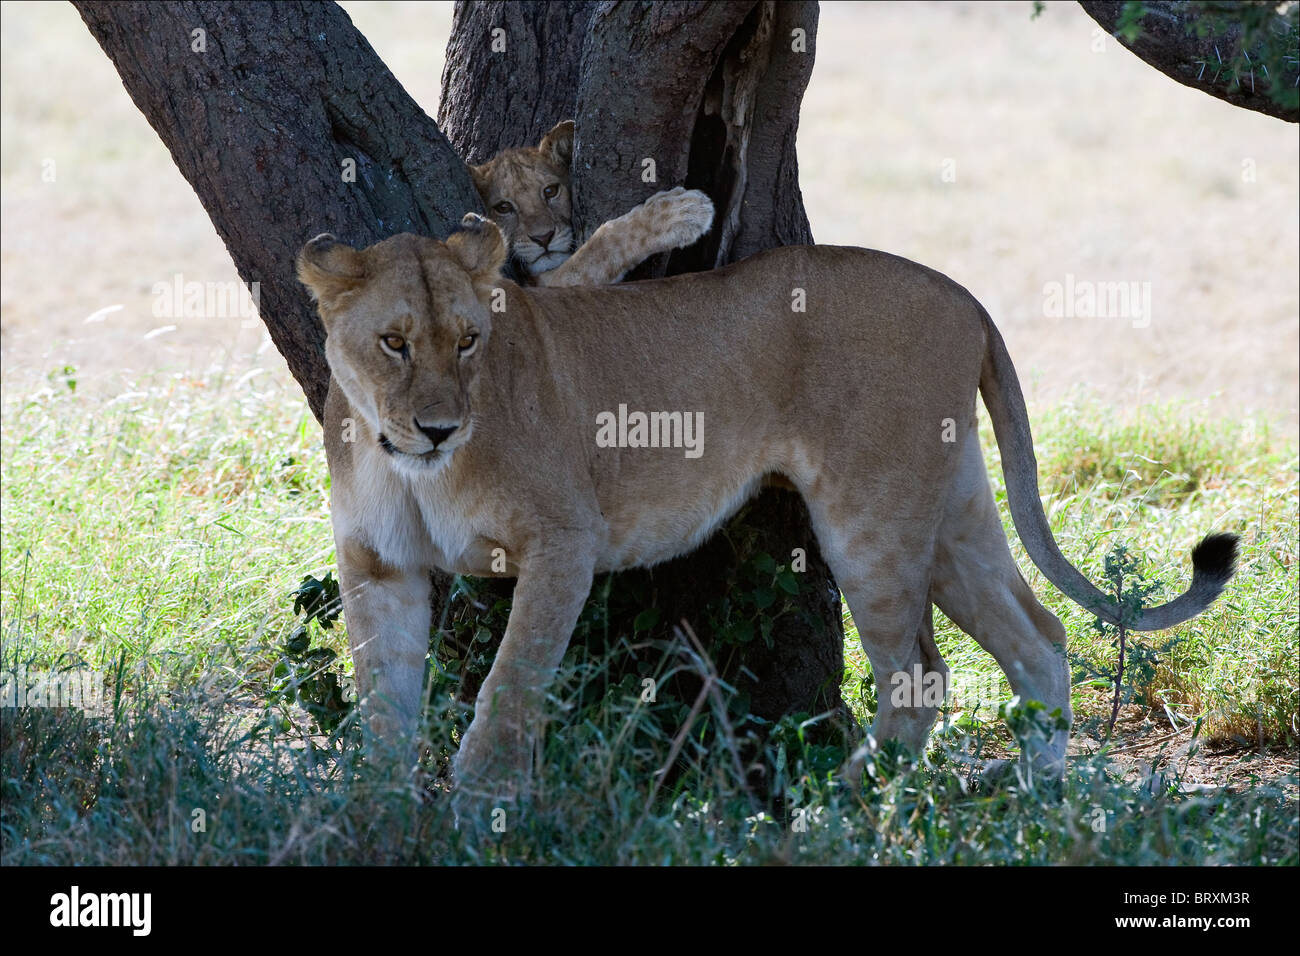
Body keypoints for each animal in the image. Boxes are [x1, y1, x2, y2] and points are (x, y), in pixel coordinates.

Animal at [297, 217, 1238, 828]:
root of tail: (961, 293)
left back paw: (829, 811)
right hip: (953, 510)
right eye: (393, 342)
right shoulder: (378, 564)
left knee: (916, 675)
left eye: (467, 339)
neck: (407, 463)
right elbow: (382, 704)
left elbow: (509, 687)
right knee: (1038, 639)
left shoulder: (565, 542)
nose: (440, 428)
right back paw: (1038, 809)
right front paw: (377, 814)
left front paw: (481, 808)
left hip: (870, 516)